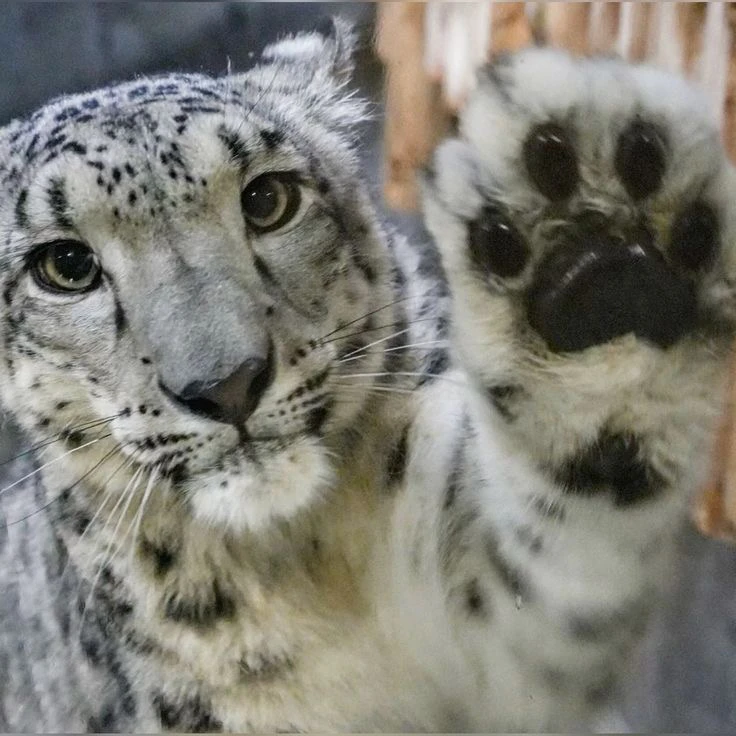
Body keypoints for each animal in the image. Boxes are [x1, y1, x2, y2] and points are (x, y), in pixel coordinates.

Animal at [0, 17, 734, 733]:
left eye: (268, 199)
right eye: (66, 265)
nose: (227, 384)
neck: (300, 562)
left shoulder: (502, 650)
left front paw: (591, 227)